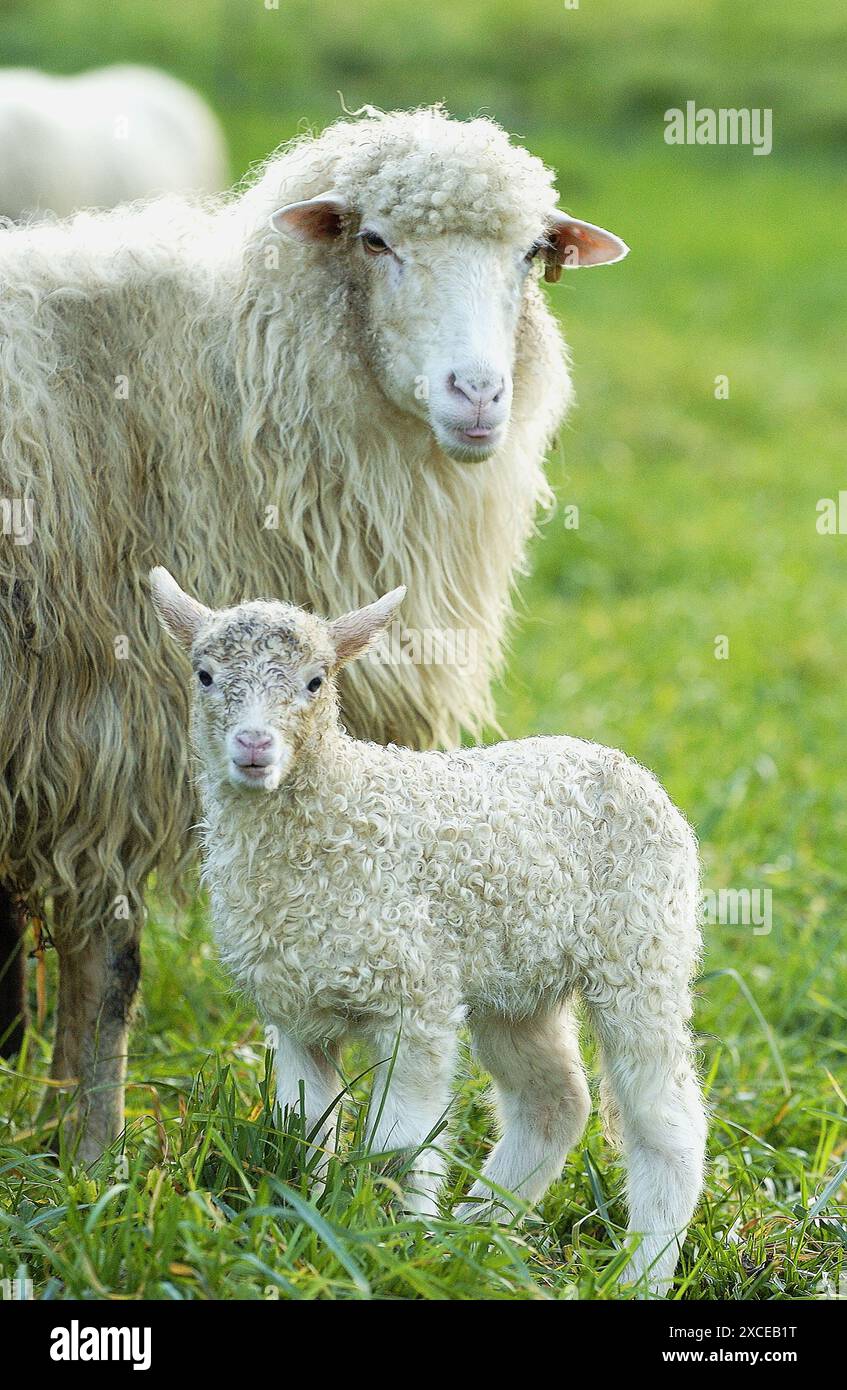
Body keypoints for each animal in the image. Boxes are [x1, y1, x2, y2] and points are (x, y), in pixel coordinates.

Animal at [0, 105, 628, 1158]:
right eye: (374, 241)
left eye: (534, 254)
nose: (478, 394)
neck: (224, 390)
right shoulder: (106, 740)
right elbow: (109, 971)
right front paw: (91, 1155)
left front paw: (59, 1137)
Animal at [149, 567, 706, 1295]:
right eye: (205, 674)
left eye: (315, 682)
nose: (253, 747)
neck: (337, 806)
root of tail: (616, 761)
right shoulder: (293, 1014)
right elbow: (306, 1133)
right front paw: (315, 1228)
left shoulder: (414, 1000)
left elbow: (396, 1146)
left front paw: (390, 1242)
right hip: (516, 986)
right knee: (554, 1102)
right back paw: (478, 1232)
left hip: (643, 953)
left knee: (665, 1118)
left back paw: (639, 1272)